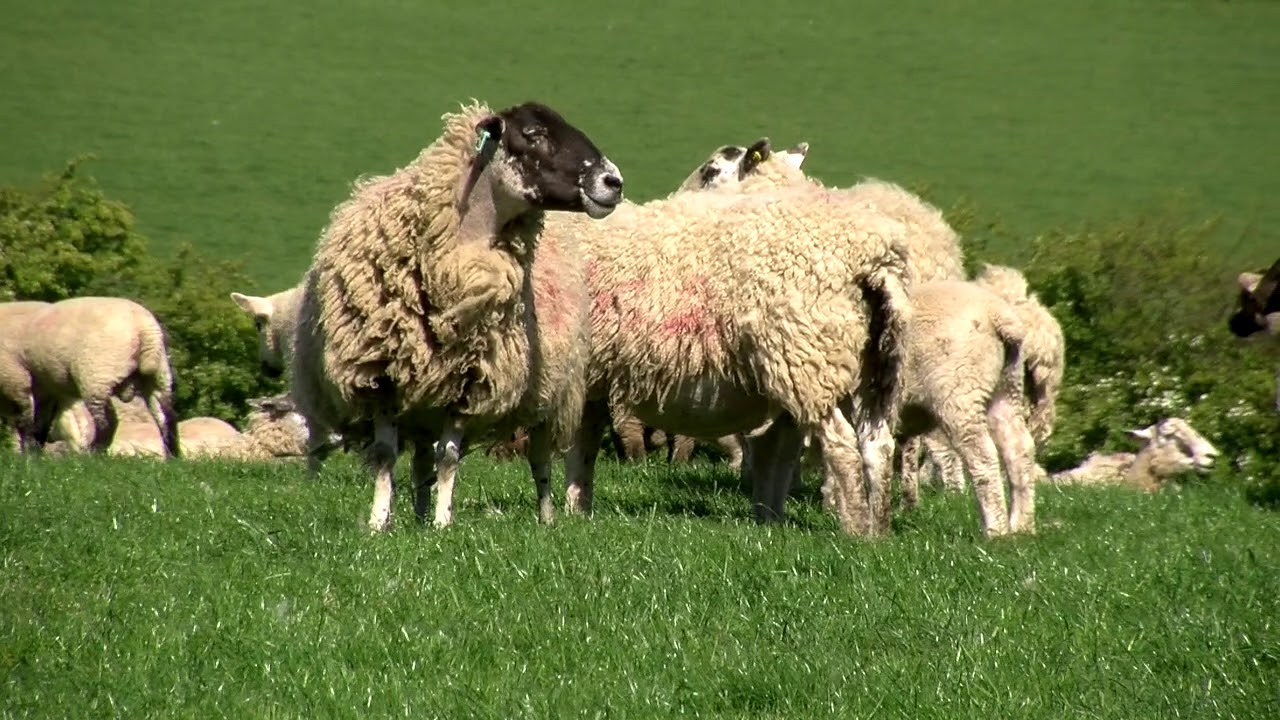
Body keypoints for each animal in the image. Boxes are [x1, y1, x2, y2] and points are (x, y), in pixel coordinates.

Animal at [0, 296, 179, 456]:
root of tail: (144, 327)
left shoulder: (15, 379)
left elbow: (23, 421)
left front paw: (26, 455)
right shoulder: (44, 390)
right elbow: (38, 424)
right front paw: (34, 453)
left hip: (97, 375)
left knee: (106, 423)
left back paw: (93, 453)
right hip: (158, 374)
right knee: (166, 416)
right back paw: (173, 455)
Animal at [290, 100, 623, 532]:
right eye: (533, 134)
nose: (613, 181)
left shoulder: (472, 380)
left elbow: (448, 457)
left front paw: (442, 523)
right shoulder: (380, 375)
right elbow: (384, 454)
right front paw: (380, 522)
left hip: (547, 392)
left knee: (539, 458)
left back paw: (545, 517)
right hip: (422, 405)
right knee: (420, 462)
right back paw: (415, 513)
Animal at [556, 161, 916, 537]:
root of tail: (877, 255)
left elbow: (578, 446)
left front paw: (571, 512)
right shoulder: (593, 378)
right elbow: (583, 447)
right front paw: (578, 509)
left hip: (806, 358)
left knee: (842, 445)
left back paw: (855, 529)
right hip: (872, 366)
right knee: (877, 445)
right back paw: (877, 531)